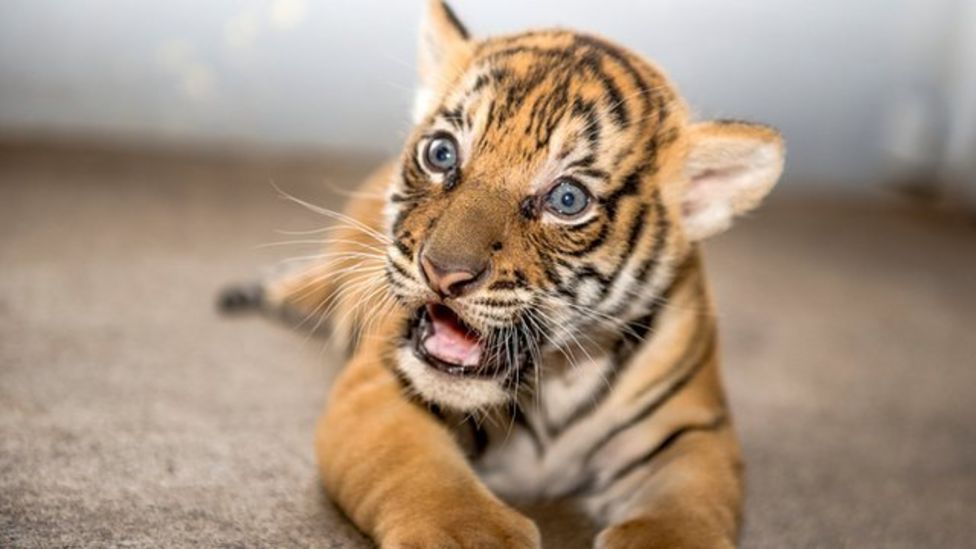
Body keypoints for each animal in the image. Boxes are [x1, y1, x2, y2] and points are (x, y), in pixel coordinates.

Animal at [220, 1, 785, 547]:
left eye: (567, 199)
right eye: (441, 153)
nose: (442, 273)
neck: (557, 381)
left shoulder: (693, 434)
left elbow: (684, 520)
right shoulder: (378, 387)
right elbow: (427, 481)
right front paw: (472, 533)